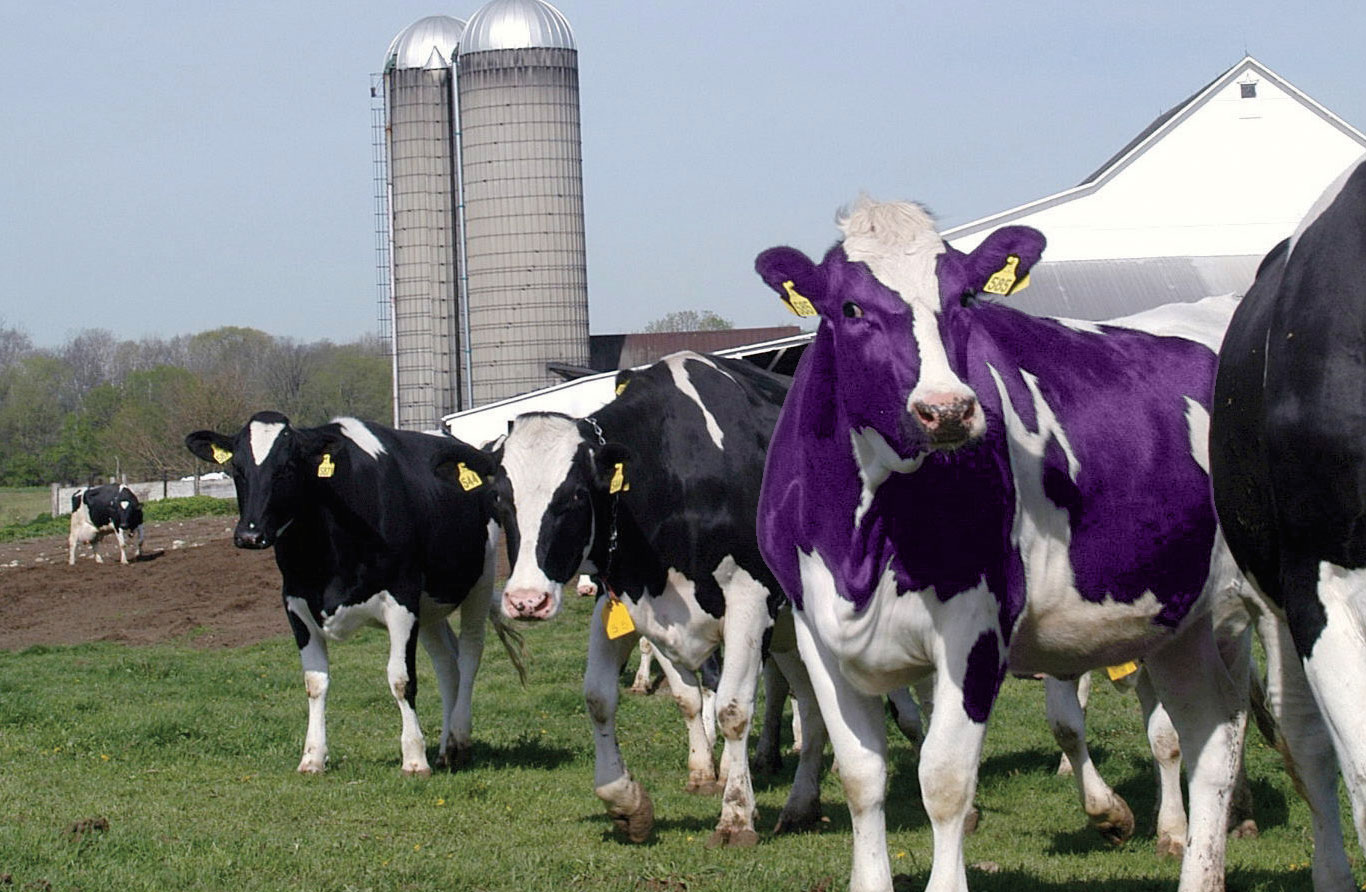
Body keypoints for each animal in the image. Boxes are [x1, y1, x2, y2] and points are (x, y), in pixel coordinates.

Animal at [185, 411, 524, 776]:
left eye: (287, 467)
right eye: (237, 468)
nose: (249, 535)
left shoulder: (402, 599)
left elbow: (402, 679)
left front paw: (414, 758)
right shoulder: (295, 604)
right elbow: (315, 682)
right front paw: (312, 758)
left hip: (480, 580)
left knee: (470, 655)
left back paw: (459, 739)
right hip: (430, 603)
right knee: (448, 665)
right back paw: (447, 749)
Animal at [460, 351, 829, 848]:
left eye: (575, 496)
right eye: (500, 499)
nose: (526, 601)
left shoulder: (751, 599)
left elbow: (732, 709)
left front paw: (735, 816)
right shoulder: (624, 600)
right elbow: (604, 697)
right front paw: (627, 802)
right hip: (792, 634)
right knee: (811, 705)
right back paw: (800, 806)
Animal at [754, 198, 1254, 892]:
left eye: (964, 296)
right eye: (850, 309)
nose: (947, 409)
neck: (860, 543)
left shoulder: (977, 627)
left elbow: (943, 782)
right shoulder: (816, 632)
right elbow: (861, 779)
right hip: (1183, 617)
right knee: (1214, 730)